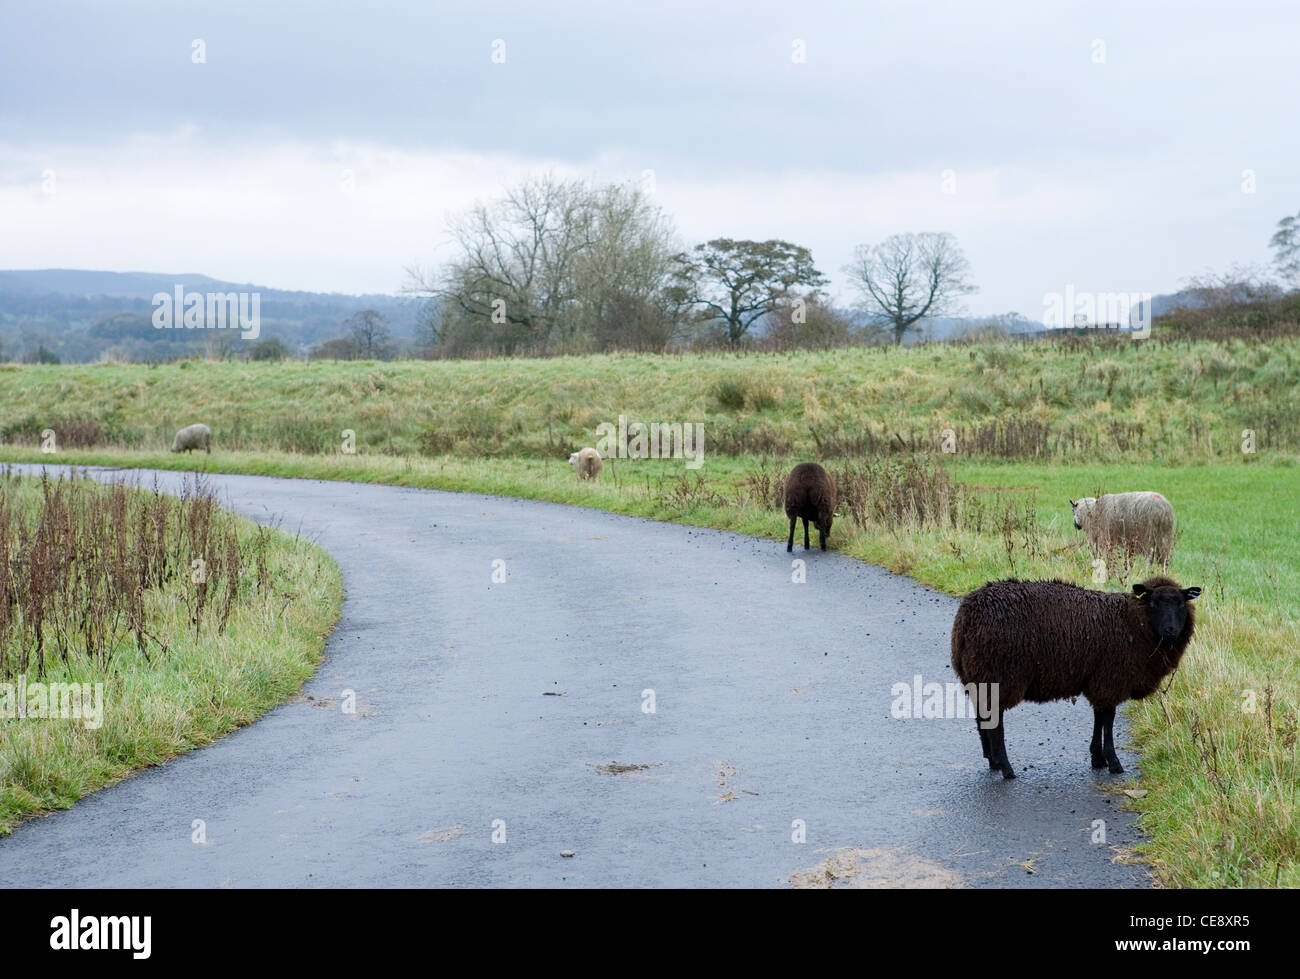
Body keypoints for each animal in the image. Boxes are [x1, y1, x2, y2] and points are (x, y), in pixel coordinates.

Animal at [950, 575, 1201, 779]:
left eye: (1181, 603)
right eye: (1153, 603)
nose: (1170, 631)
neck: (1132, 622)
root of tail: (968, 615)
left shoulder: (1099, 679)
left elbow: (1099, 716)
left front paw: (1098, 758)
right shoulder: (1110, 679)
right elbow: (1108, 720)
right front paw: (1113, 761)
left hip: (978, 675)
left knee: (983, 717)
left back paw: (992, 760)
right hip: (1001, 675)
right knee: (996, 723)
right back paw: (1006, 767)